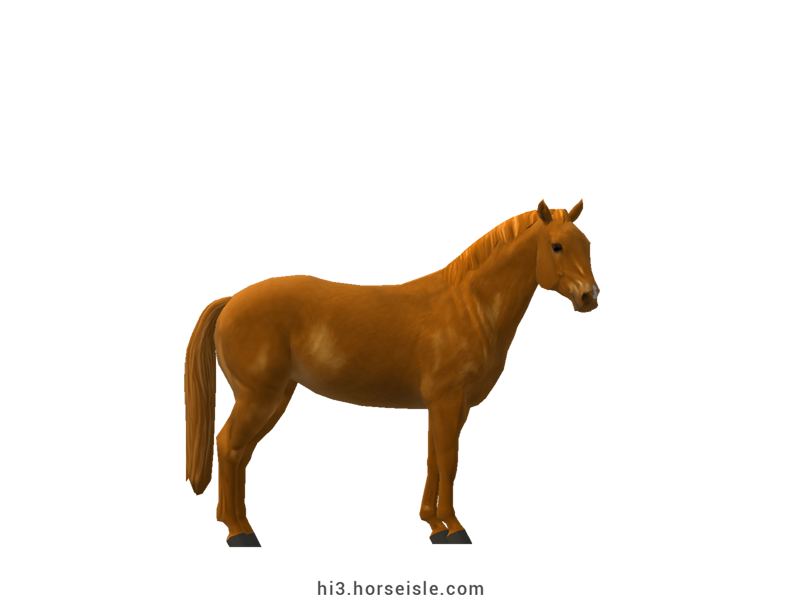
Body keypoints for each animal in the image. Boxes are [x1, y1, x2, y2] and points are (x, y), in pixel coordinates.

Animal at [185, 199, 598, 540]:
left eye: (584, 242)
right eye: (556, 245)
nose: (588, 295)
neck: (472, 307)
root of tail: (231, 301)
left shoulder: (444, 403)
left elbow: (435, 457)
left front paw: (432, 520)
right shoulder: (446, 399)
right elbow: (449, 457)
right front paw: (453, 524)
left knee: (235, 452)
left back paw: (238, 522)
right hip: (254, 397)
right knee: (227, 447)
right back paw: (235, 528)